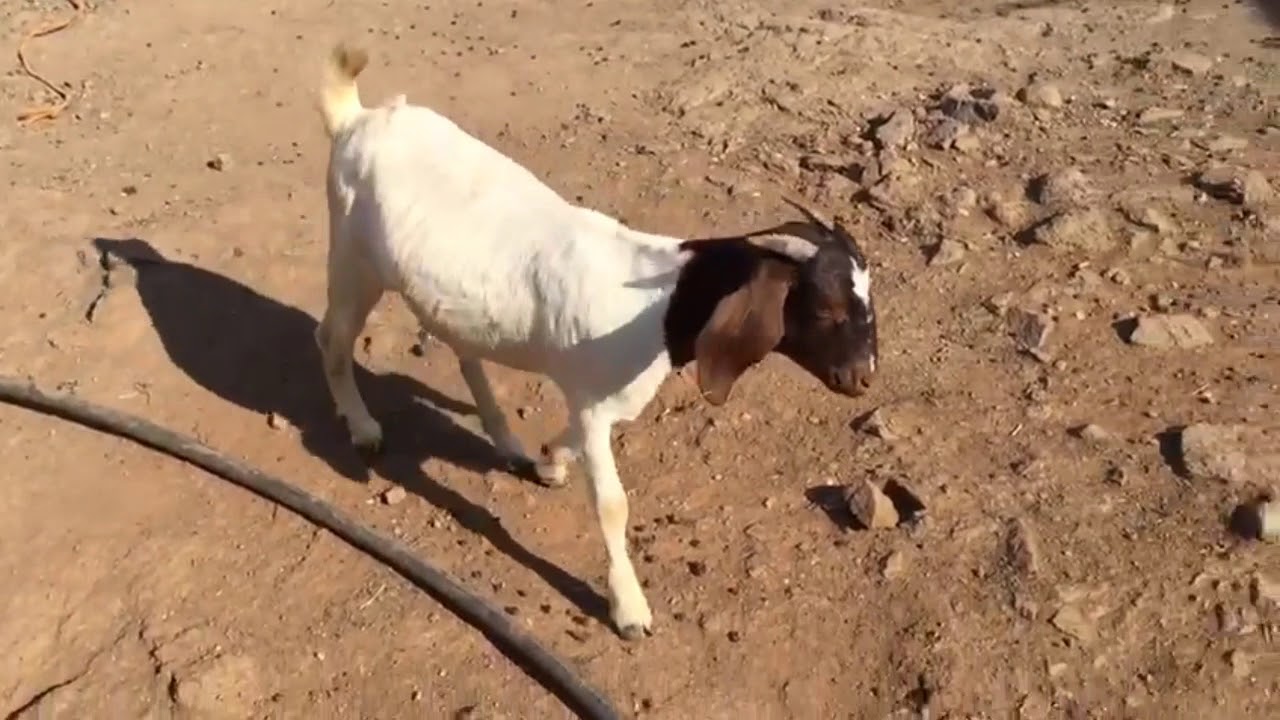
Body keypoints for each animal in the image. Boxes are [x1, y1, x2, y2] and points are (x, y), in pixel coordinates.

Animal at [313, 44, 879, 639]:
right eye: (825, 309)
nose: (862, 378)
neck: (659, 304)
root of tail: (355, 118)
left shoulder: (598, 403)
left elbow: (572, 442)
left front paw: (548, 461)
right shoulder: (591, 403)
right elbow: (611, 504)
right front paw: (629, 608)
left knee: (463, 349)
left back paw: (506, 440)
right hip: (352, 260)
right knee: (332, 338)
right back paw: (363, 427)